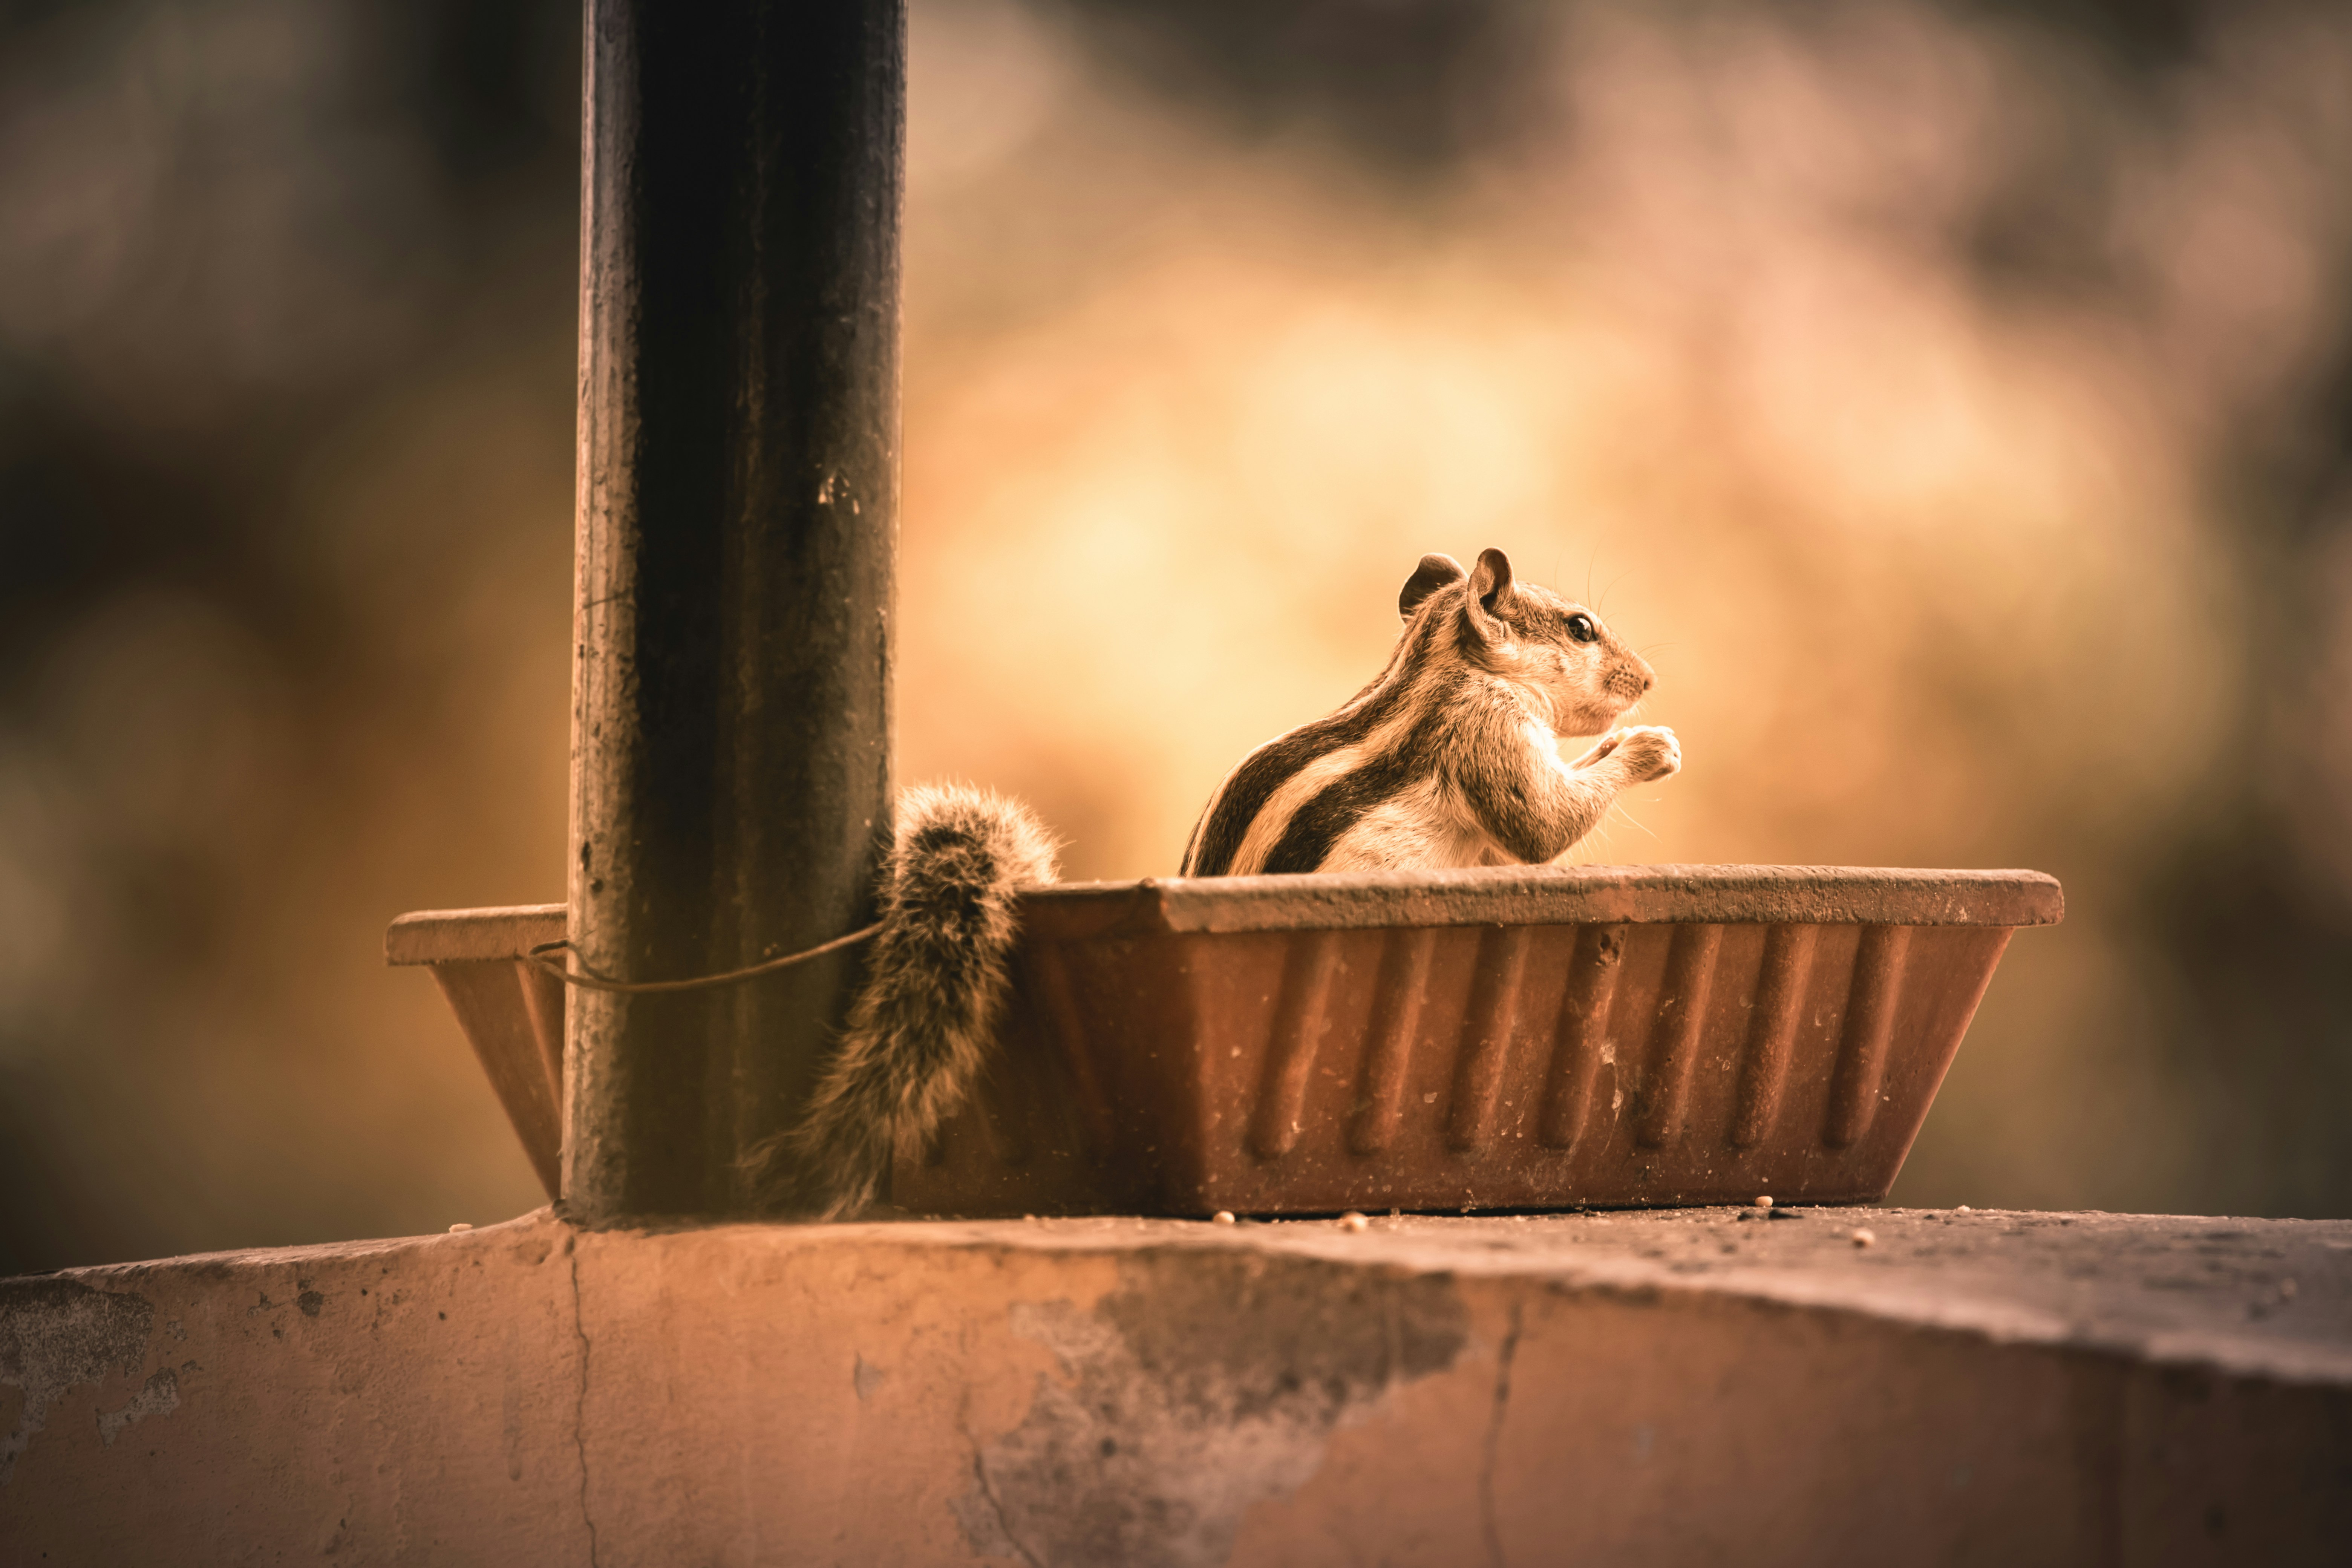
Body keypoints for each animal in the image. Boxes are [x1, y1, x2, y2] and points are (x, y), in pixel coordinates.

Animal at [1181, 547, 1680, 875]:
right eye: (1580, 628)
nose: (1649, 678)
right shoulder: (1488, 729)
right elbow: (1543, 826)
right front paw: (1652, 746)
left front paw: (1617, 743)